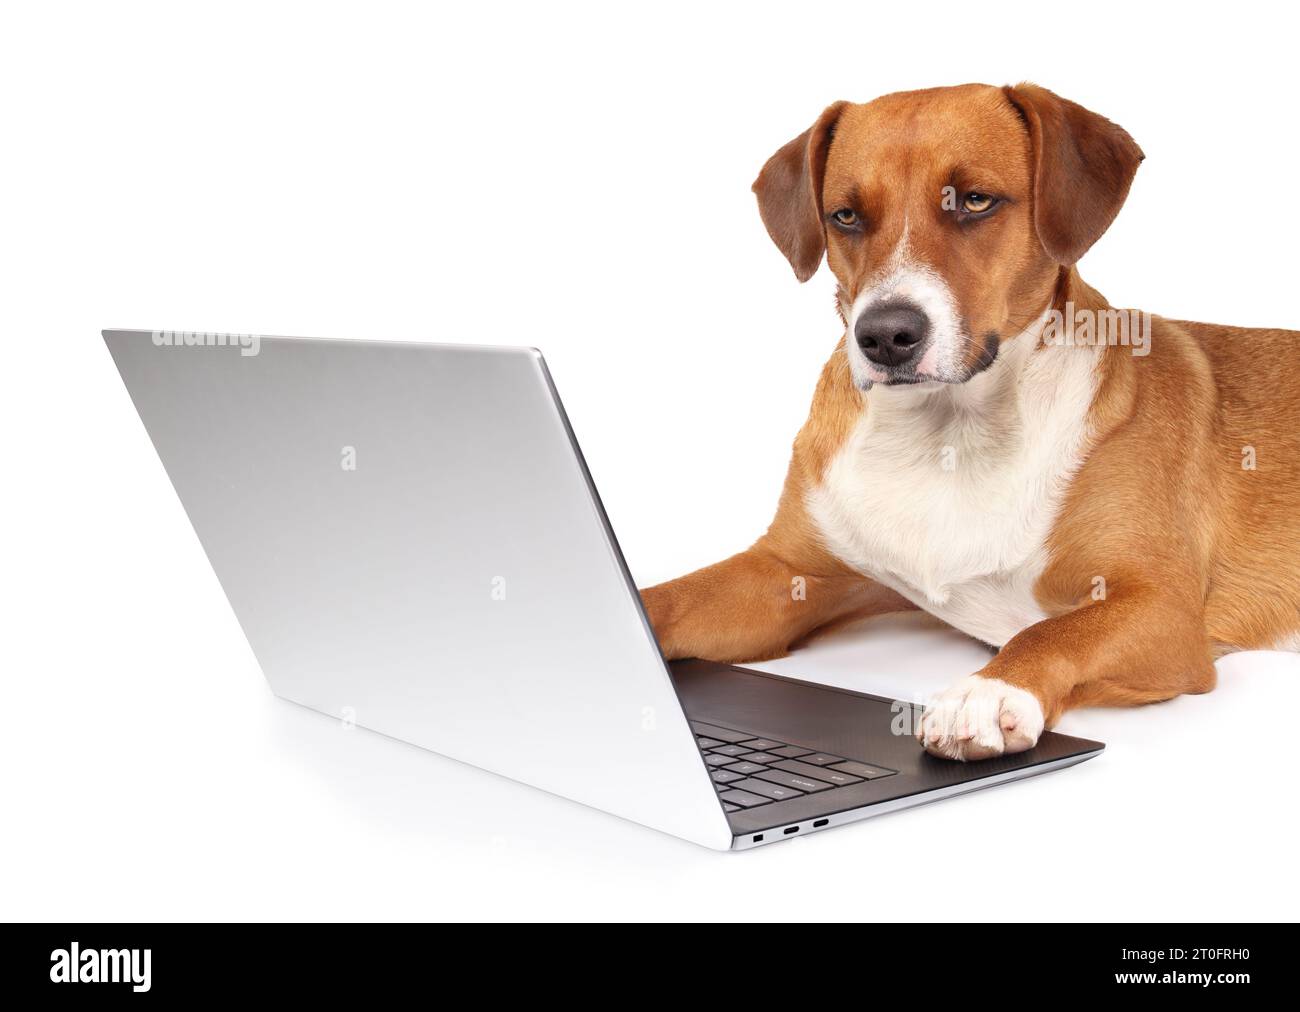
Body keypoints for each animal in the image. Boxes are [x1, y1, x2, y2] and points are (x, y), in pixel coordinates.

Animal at [644, 80, 1300, 759]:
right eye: (845, 216)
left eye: (976, 202)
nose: (885, 336)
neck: (948, 433)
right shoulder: (787, 572)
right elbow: (667, 600)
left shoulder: (1160, 605)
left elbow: (1054, 633)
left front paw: (986, 692)